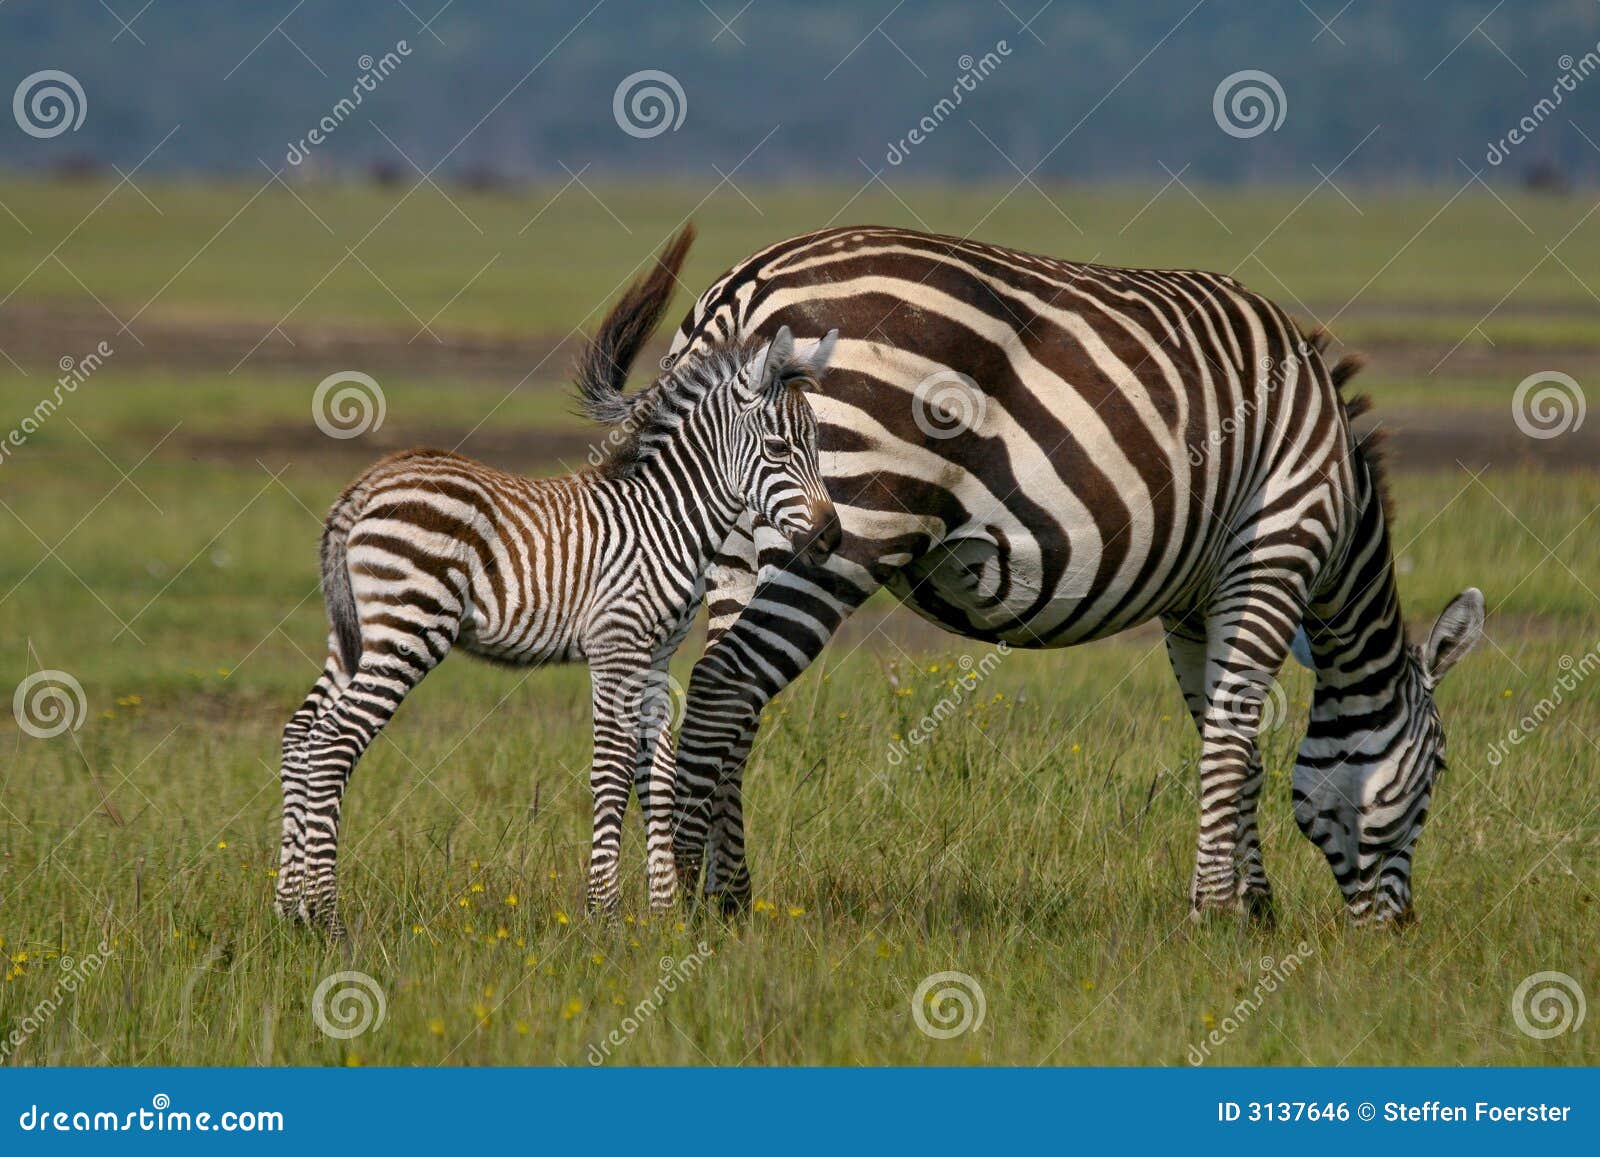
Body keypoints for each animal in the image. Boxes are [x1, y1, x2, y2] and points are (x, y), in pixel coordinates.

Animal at [274, 230, 841, 933]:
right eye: (778, 450)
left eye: (817, 446)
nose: (830, 537)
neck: (667, 518)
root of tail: (365, 486)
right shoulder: (615, 647)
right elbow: (612, 771)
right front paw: (604, 913)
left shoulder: (654, 657)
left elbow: (656, 776)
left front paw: (663, 916)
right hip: (408, 627)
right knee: (332, 746)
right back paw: (327, 918)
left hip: (355, 633)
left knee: (302, 736)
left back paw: (289, 910)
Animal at [657, 224, 1483, 926]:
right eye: (1439, 769)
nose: (1399, 931)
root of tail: (742, 288)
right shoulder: (1276, 548)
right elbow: (1232, 736)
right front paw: (1221, 913)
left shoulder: (1195, 600)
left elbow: (1232, 744)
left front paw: (1250, 906)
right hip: (841, 525)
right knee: (724, 689)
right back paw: (696, 905)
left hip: (734, 535)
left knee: (713, 704)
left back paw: (724, 900)